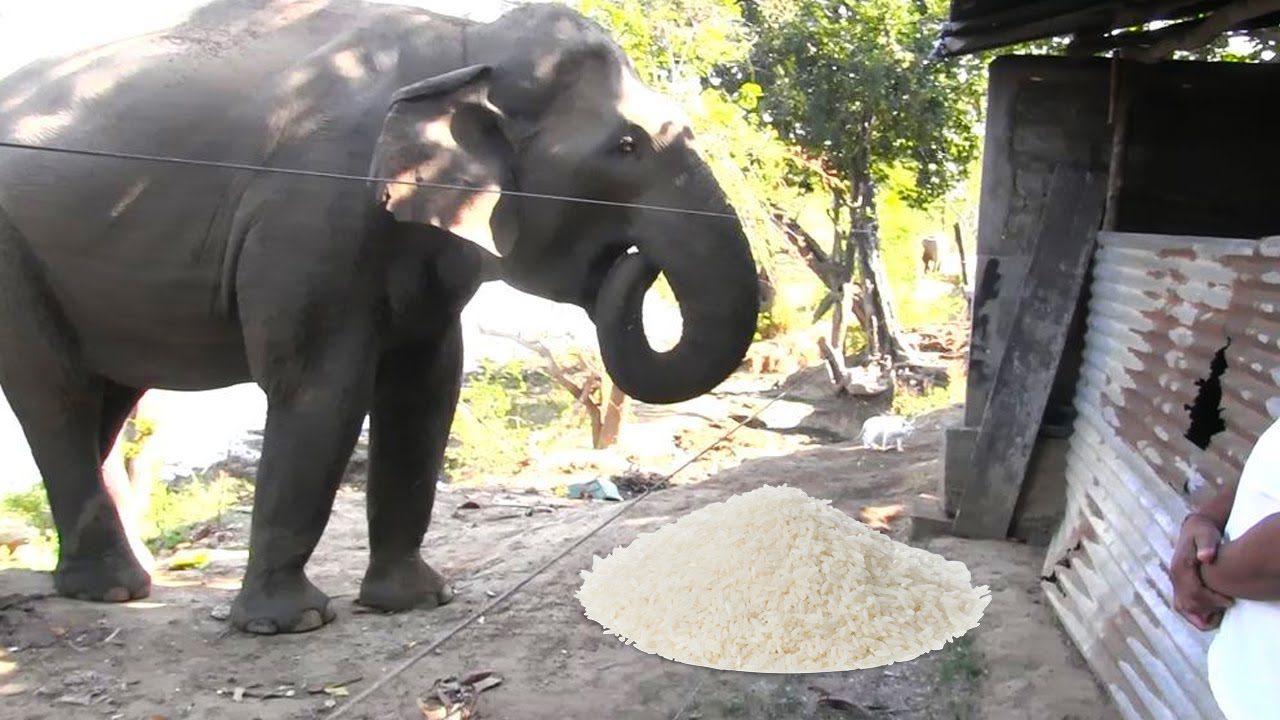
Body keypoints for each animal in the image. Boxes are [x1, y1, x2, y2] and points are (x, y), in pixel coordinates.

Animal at [0, 0, 758, 634]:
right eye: (624, 148)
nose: (635, 262)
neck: (467, 43)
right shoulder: (312, 210)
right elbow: (321, 387)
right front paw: (290, 624)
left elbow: (426, 387)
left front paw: (418, 601)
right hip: (11, 260)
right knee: (57, 394)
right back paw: (115, 588)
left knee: (107, 402)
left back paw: (109, 583)